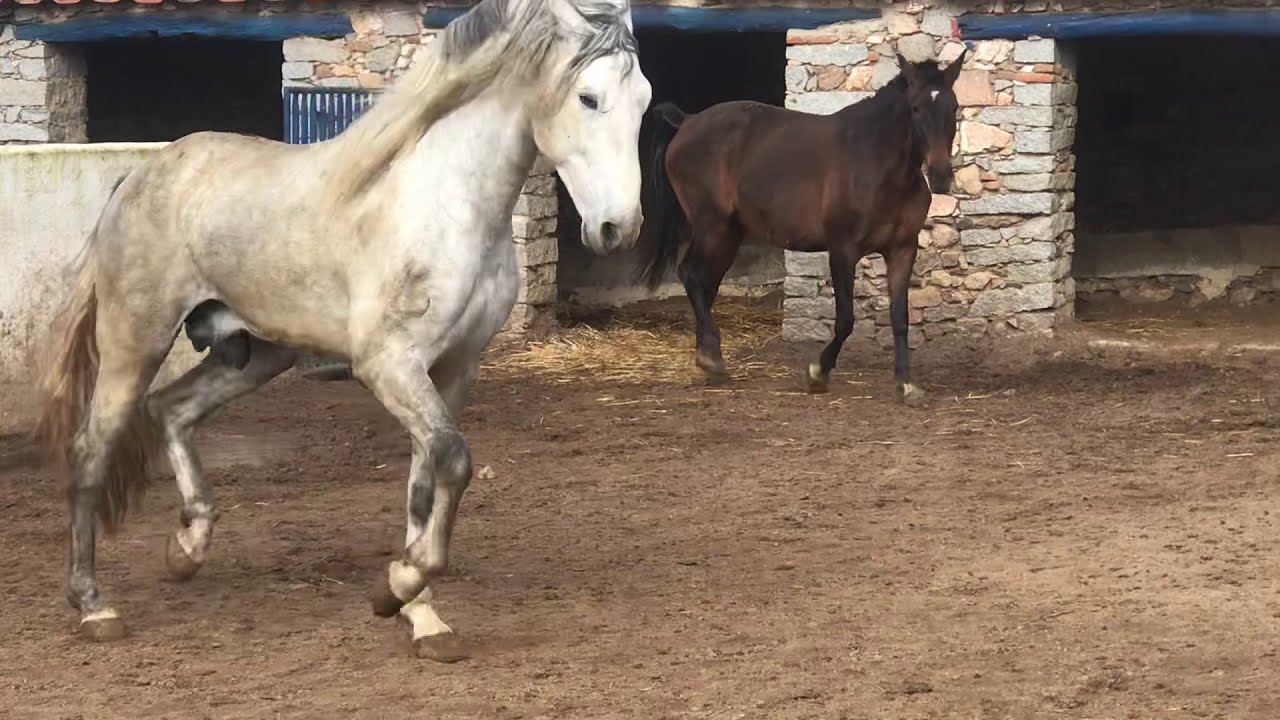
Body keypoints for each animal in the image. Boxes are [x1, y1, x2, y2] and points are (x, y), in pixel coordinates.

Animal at [32, 0, 652, 662]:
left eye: (643, 98)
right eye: (588, 97)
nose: (618, 228)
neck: (445, 206)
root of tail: (138, 178)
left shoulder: (453, 370)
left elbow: (424, 485)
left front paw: (421, 617)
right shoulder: (389, 366)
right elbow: (455, 461)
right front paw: (396, 588)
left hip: (255, 355)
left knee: (170, 409)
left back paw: (187, 549)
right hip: (135, 341)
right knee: (91, 449)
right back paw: (94, 606)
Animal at [633, 50, 966, 406]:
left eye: (953, 107)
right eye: (916, 108)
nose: (941, 174)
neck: (880, 167)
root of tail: (687, 121)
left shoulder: (902, 249)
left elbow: (900, 319)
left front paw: (906, 384)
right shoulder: (843, 249)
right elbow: (846, 320)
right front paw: (818, 372)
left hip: (729, 234)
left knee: (703, 284)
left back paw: (708, 357)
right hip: (712, 226)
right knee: (691, 275)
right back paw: (711, 358)